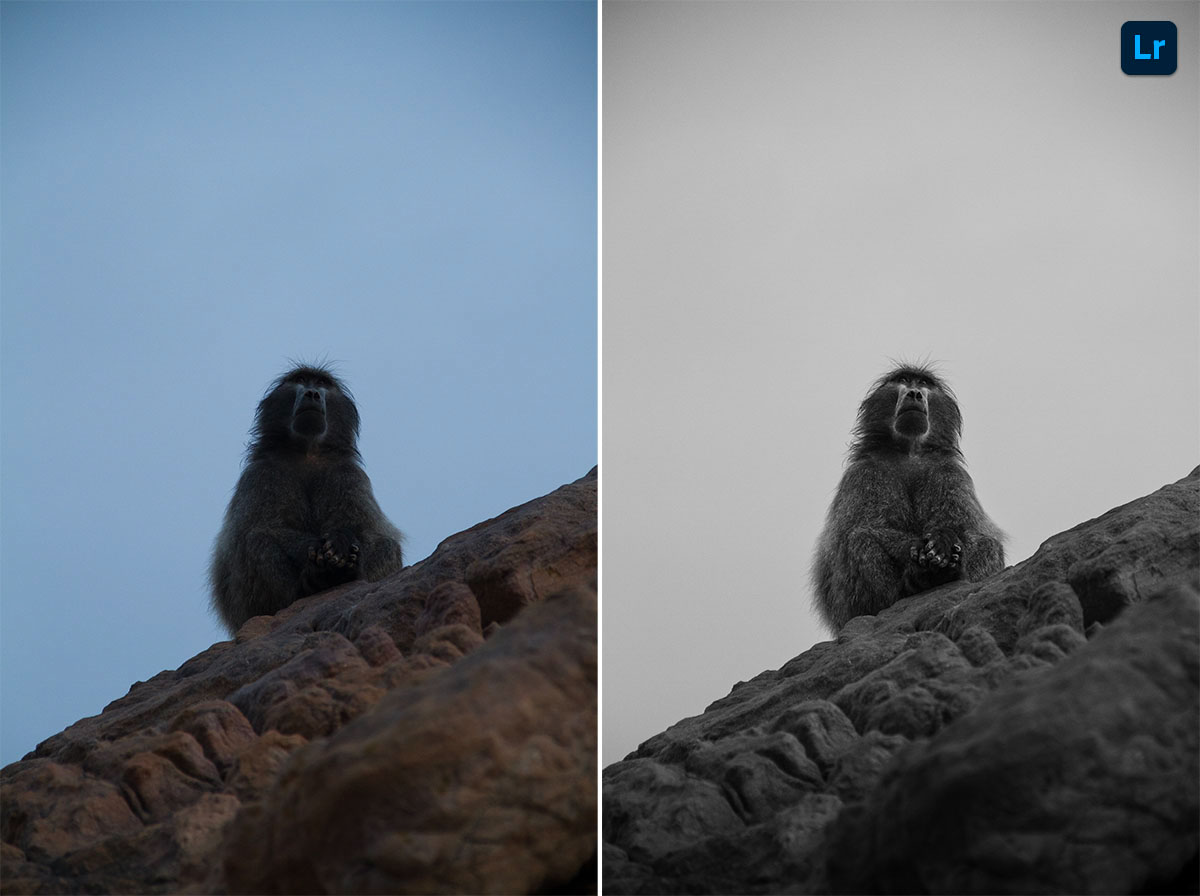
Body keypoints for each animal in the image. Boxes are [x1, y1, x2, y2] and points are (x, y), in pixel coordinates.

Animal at [208, 364, 404, 634]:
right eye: (300, 380)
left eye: (322, 383)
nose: (312, 393)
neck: (307, 452)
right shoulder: (262, 475)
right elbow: (261, 529)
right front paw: (319, 550)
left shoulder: (347, 474)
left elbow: (369, 531)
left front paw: (341, 543)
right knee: (257, 541)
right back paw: (311, 581)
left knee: (386, 544)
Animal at [811, 363, 1005, 632]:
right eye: (903, 380)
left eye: (923, 383)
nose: (914, 393)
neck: (909, 452)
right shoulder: (864, 474)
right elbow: (863, 528)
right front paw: (920, 550)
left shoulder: (949, 472)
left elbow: (967, 529)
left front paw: (943, 541)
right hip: (853, 608)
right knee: (860, 538)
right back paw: (913, 583)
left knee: (988, 543)